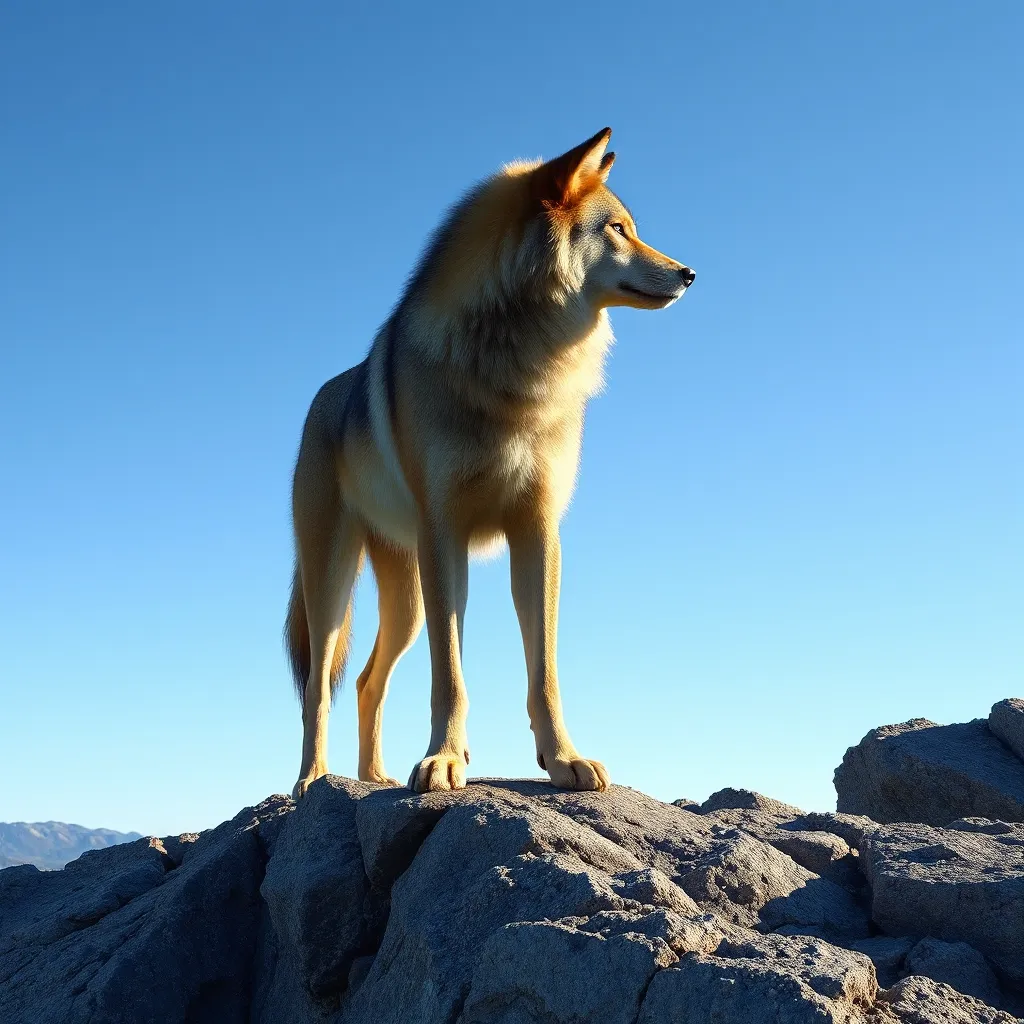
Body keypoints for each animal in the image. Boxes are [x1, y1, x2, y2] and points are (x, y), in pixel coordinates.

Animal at [285, 128, 694, 798]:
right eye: (618, 229)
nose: (689, 273)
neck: (518, 372)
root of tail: (324, 394)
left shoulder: (538, 532)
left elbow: (545, 673)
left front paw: (564, 759)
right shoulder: (445, 535)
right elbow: (449, 676)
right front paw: (444, 761)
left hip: (406, 601)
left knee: (369, 681)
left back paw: (373, 777)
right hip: (335, 586)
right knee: (319, 686)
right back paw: (314, 778)